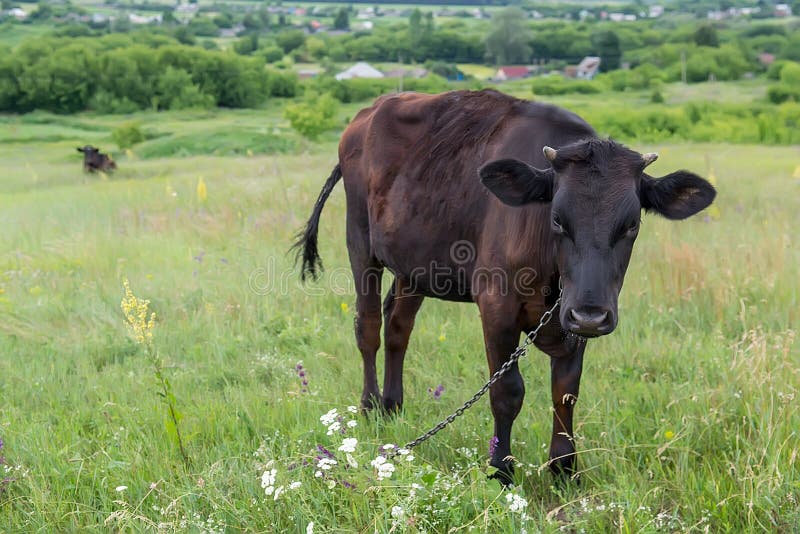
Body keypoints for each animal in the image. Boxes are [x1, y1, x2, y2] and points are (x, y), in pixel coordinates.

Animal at [294, 89, 715, 483]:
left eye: (631, 224)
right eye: (557, 219)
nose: (591, 316)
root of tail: (369, 113)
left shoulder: (573, 316)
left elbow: (566, 391)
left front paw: (564, 468)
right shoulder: (498, 306)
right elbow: (507, 391)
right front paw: (500, 469)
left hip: (412, 264)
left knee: (399, 328)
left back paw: (392, 405)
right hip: (360, 243)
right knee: (368, 327)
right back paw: (369, 409)